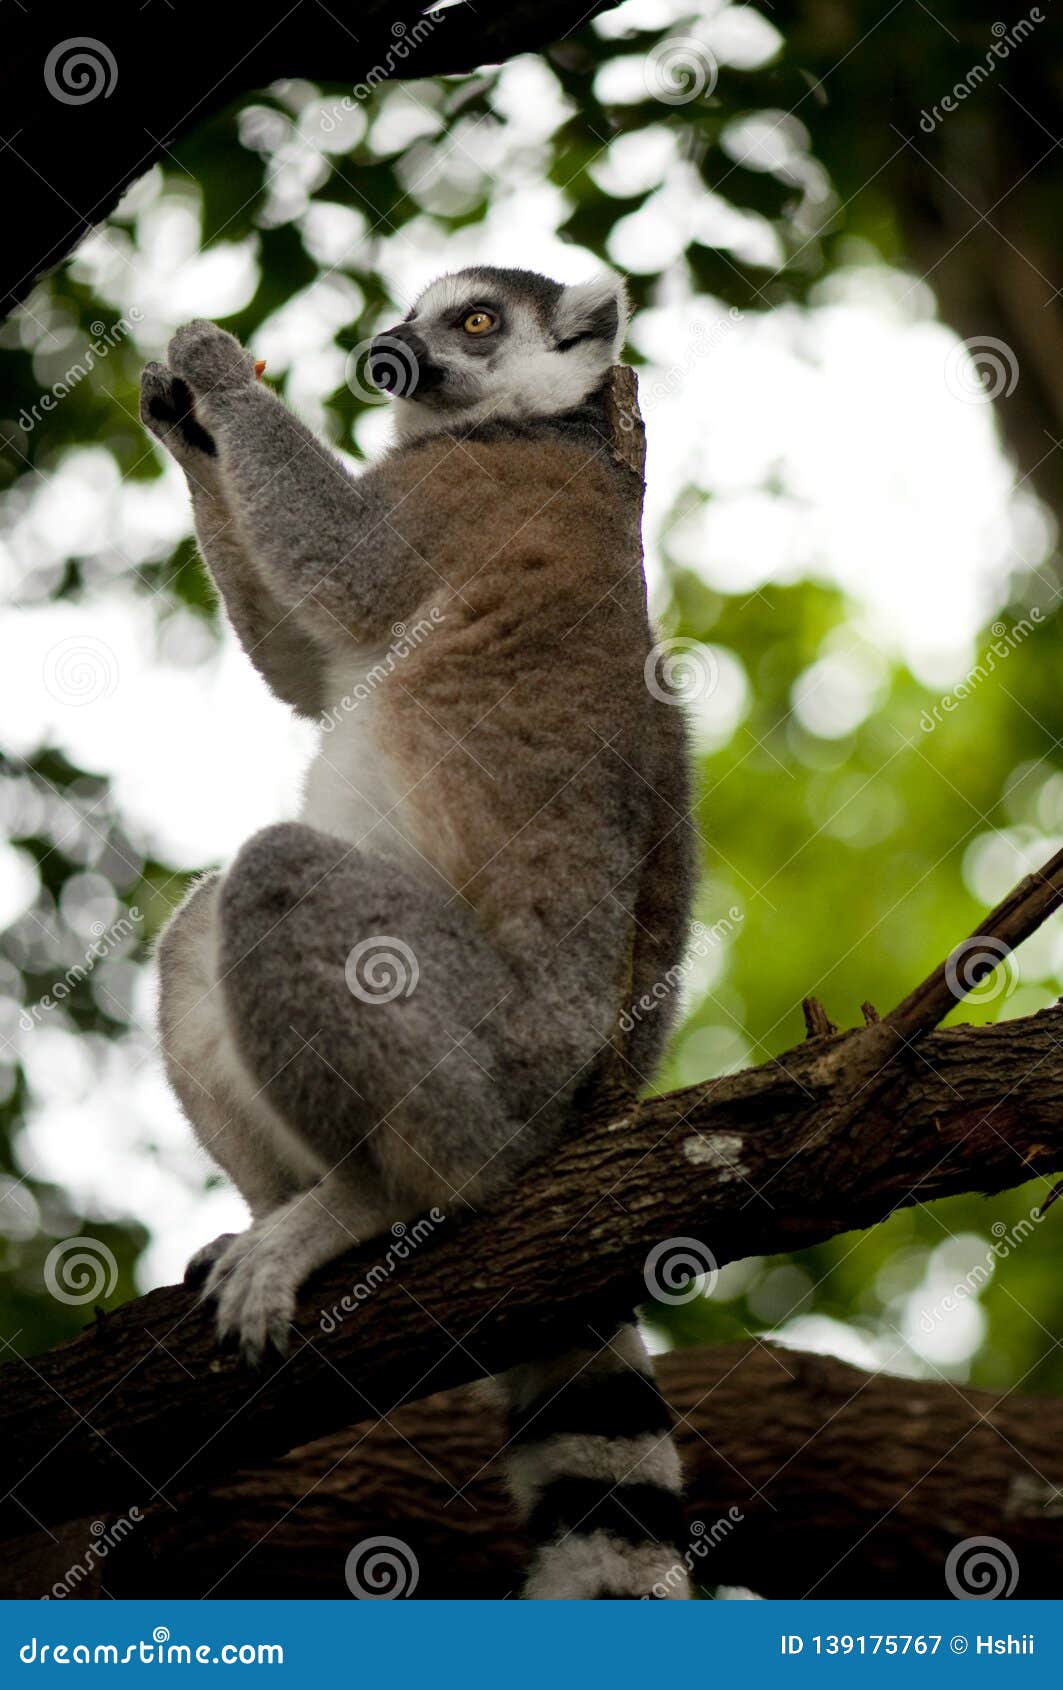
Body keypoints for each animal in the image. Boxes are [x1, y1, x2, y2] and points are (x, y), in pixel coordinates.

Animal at [140, 266, 697, 1600]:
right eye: (409, 310)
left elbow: (339, 561)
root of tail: (577, 1115)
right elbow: (307, 659)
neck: (531, 428)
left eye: (476, 320)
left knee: (277, 879)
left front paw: (215, 371)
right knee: (198, 928)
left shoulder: (460, 499)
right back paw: (278, 1206)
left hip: (475, 1073)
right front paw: (179, 412)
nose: (387, 349)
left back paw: (356, 1205)